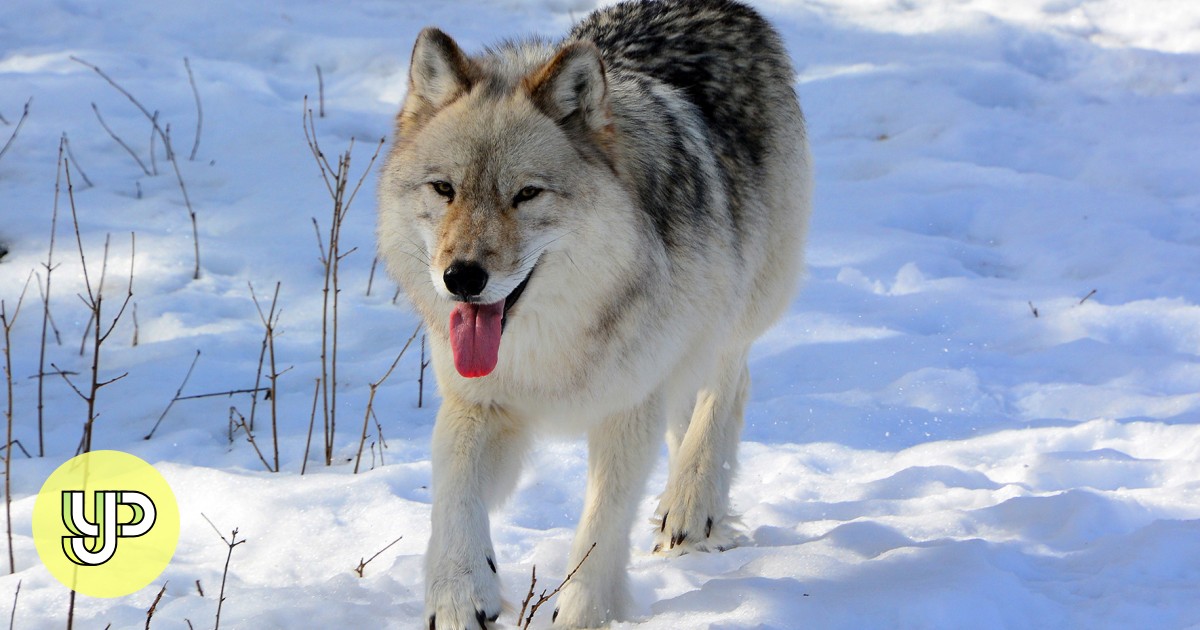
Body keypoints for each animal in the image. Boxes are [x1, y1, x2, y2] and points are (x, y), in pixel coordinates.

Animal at [377, 0, 811, 626]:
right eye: (444, 189)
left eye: (526, 194)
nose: (461, 279)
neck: (553, 344)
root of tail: (711, 5)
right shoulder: (479, 402)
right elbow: (454, 493)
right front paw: (460, 595)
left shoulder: (627, 409)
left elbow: (601, 529)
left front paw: (582, 613)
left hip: (738, 300)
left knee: (728, 386)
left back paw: (691, 506)